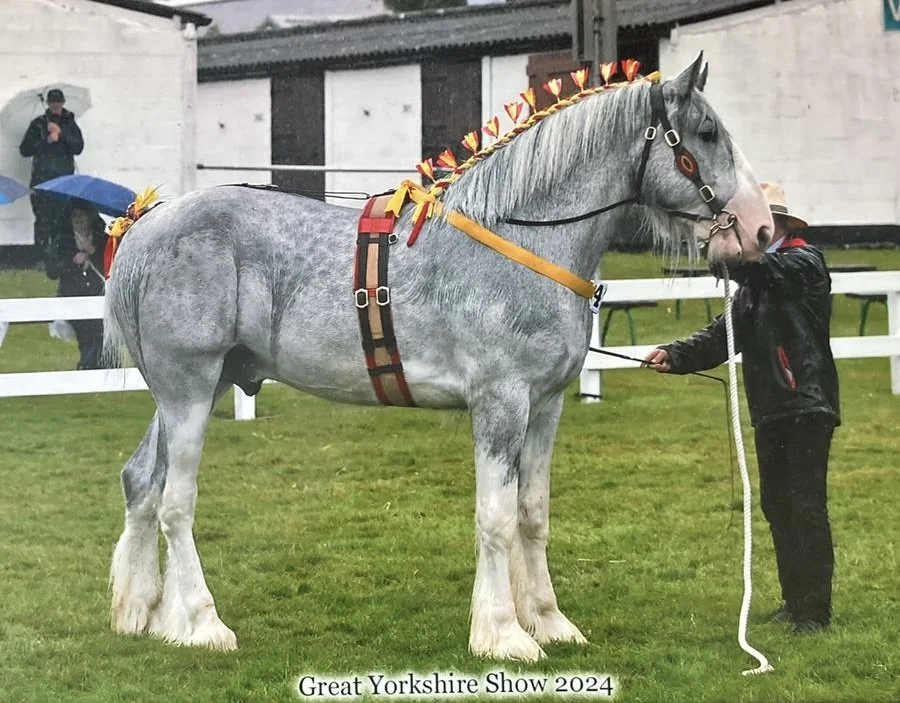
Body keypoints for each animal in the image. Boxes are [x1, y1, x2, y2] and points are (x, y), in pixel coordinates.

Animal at [104, 55, 773, 662]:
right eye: (705, 133)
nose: (762, 228)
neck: (522, 239)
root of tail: (145, 228)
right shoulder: (499, 404)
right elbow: (496, 518)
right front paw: (503, 634)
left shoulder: (546, 407)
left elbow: (532, 512)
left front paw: (549, 621)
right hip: (189, 390)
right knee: (175, 503)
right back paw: (202, 622)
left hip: (195, 389)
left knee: (141, 482)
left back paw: (143, 614)